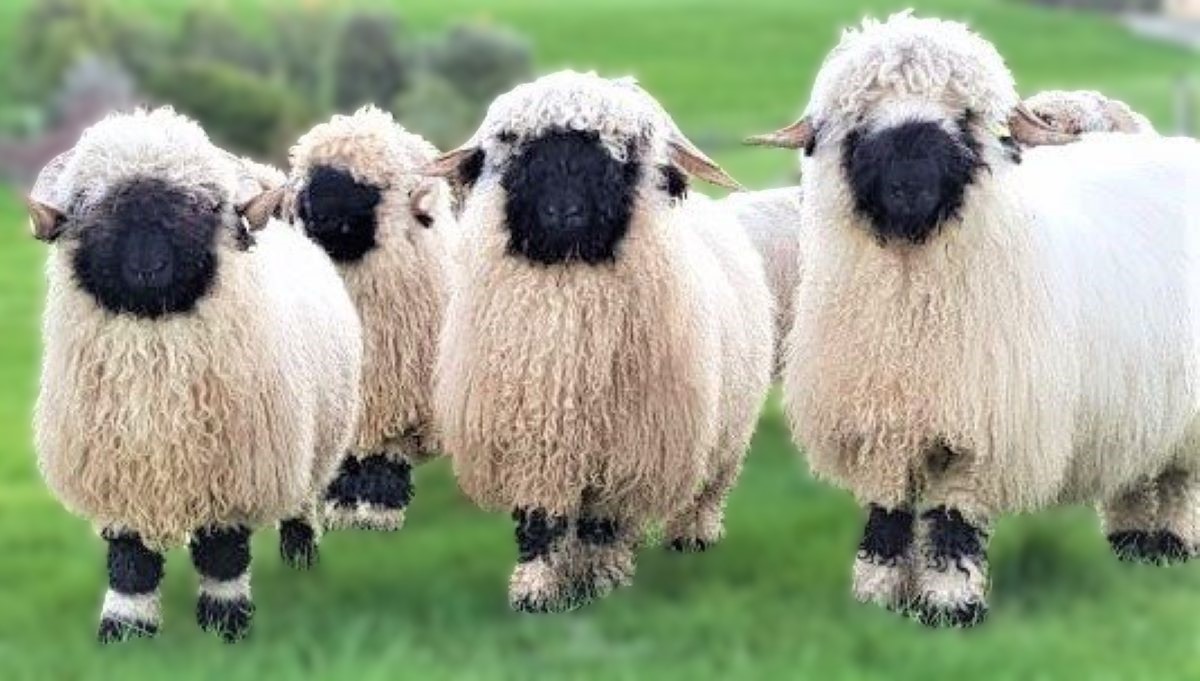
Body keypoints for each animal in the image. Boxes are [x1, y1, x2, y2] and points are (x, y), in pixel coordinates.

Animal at [28, 107, 362, 643]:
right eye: (92, 207)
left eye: (200, 206)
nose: (148, 267)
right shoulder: (118, 468)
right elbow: (130, 560)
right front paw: (124, 629)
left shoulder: (231, 469)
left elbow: (222, 554)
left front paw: (226, 624)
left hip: (312, 443)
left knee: (301, 502)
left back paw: (300, 556)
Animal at [284, 106, 458, 531]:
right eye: (308, 179)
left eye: (369, 186)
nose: (318, 216)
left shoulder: (397, 396)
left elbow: (385, 453)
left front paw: (376, 506)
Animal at [425, 71, 774, 613]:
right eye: (517, 149)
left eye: (622, 153)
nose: (563, 212)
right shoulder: (535, 438)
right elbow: (542, 520)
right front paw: (538, 589)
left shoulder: (627, 447)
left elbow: (602, 523)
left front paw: (599, 580)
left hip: (727, 430)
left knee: (709, 487)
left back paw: (692, 535)